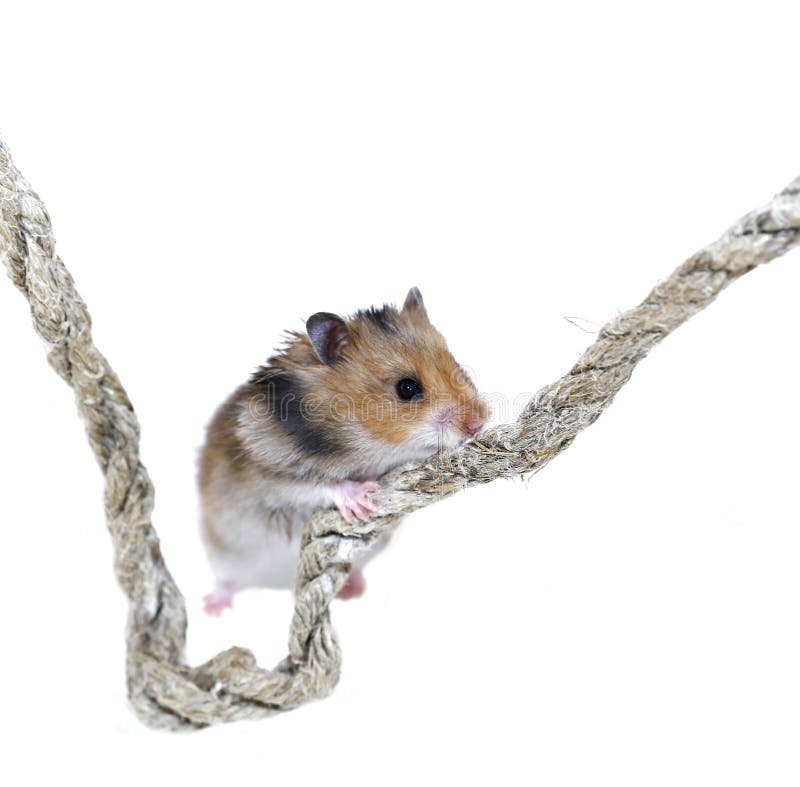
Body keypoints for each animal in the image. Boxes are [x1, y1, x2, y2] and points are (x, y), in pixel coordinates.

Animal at [198, 287, 489, 615]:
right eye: (407, 388)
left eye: (457, 364)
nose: (479, 422)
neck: (360, 445)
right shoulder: (266, 474)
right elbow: (315, 485)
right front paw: (361, 500)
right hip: (223, 554)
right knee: (228, 582)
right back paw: (211, 608)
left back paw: (353, 590)